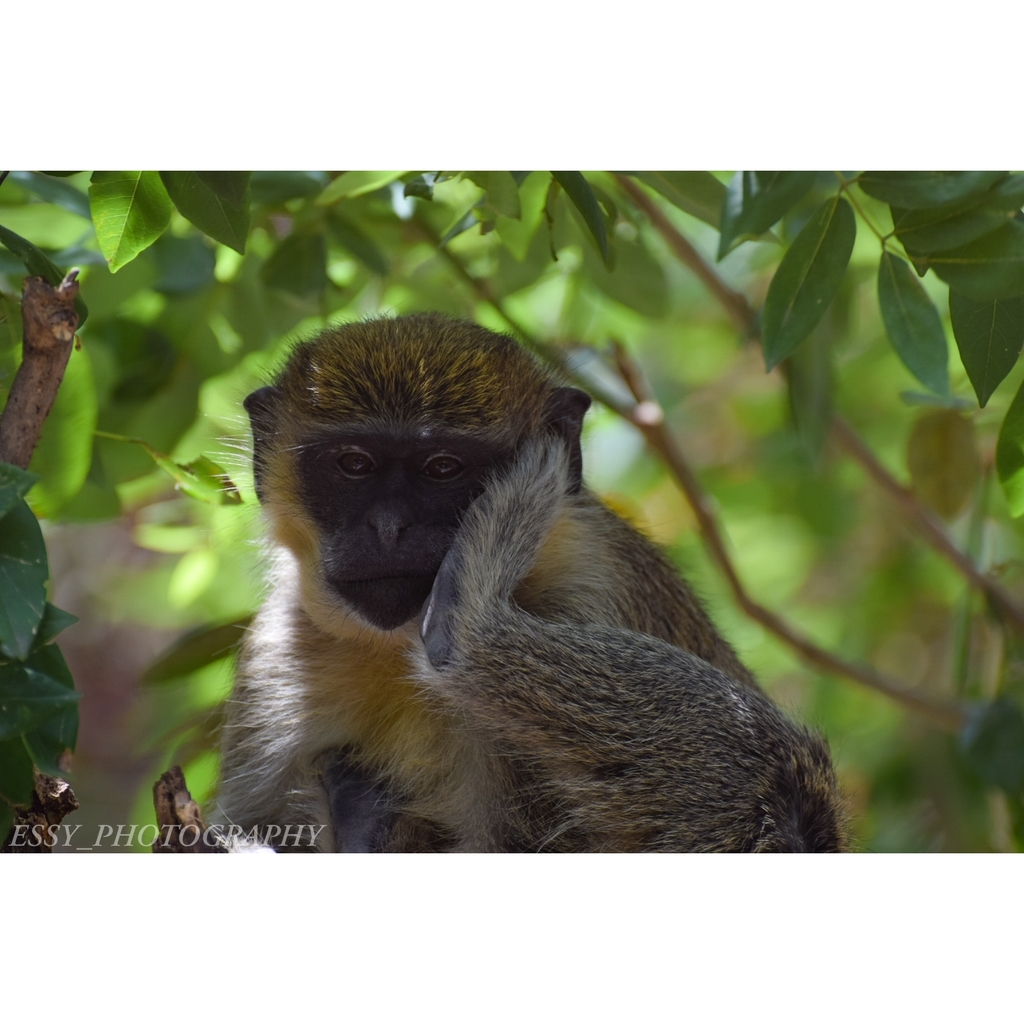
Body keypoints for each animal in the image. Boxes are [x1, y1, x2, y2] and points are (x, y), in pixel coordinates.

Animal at [216, 312, 846, 851]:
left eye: (443, 468)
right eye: (353, 464)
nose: (389, 526)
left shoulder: (592, 591)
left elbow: (733, 783)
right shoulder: (278, 653)